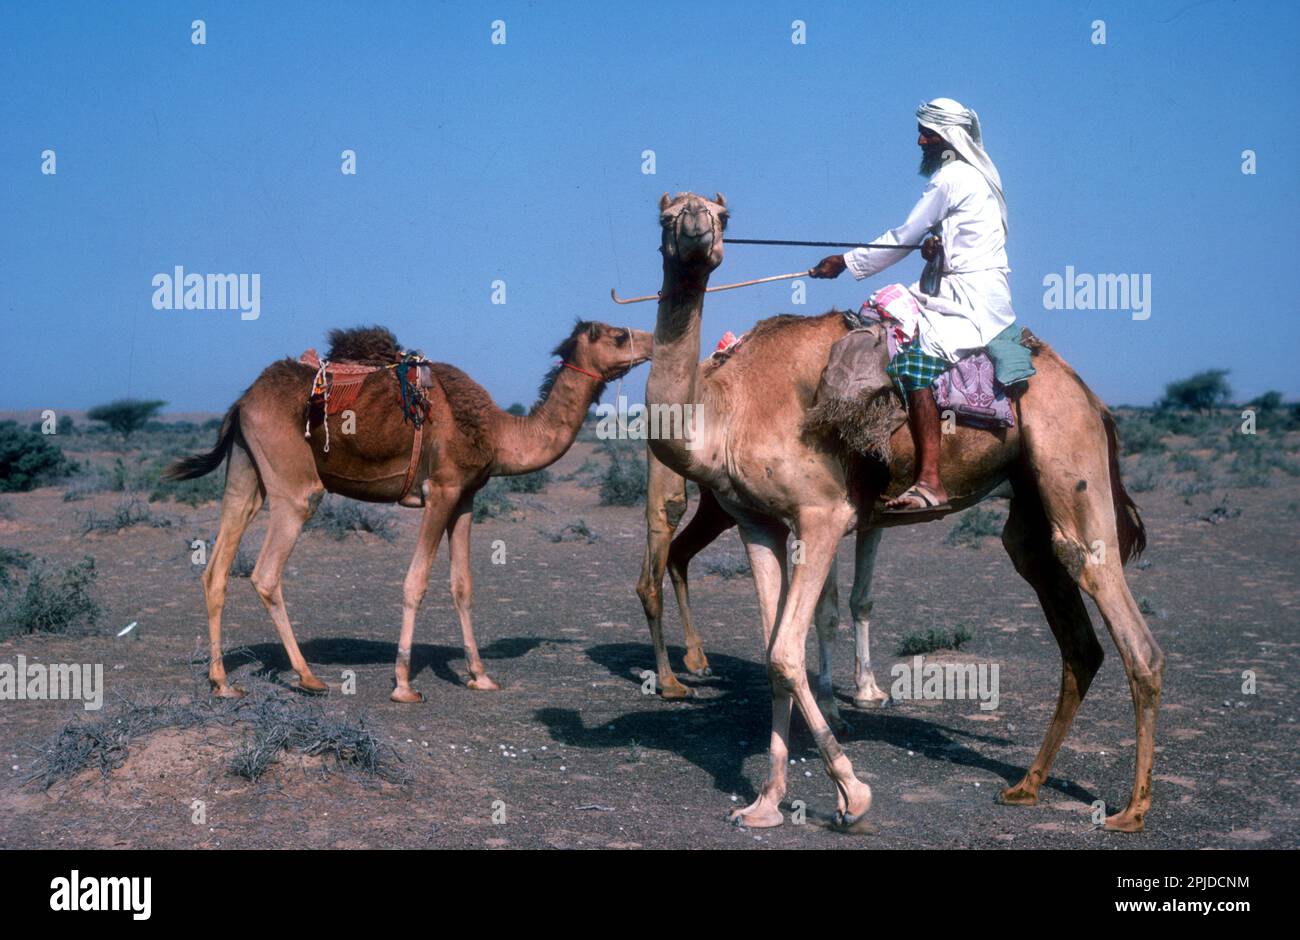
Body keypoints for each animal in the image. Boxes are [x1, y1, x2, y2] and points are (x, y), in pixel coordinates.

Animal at [165, 321, 651, 703]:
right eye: (617, 334)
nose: (651, 341)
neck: (498, 433)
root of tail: (242, 402)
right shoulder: (441, 491)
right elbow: (416, 582)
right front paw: (403, 684)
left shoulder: (466, 497)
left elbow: (463, 586)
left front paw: (480, 676)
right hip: (293, 484)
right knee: (266, 571)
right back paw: (308, 678)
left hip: (245, 472)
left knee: (216, 568)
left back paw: (222, 683)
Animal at [644, 191, 1162, 833]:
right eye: (667, 214)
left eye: (722, 215)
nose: (696, 227)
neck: (725, 408)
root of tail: (1091, 397)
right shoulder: (756, 523)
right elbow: (772, 656)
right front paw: (764, 804)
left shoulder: (821, 514)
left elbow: (787, 652)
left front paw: (852, 794)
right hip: (1031, 508)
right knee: (1075, 636)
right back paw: (1026, 786)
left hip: (1070, 461)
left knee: (1124, 621)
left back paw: (1131, 809)